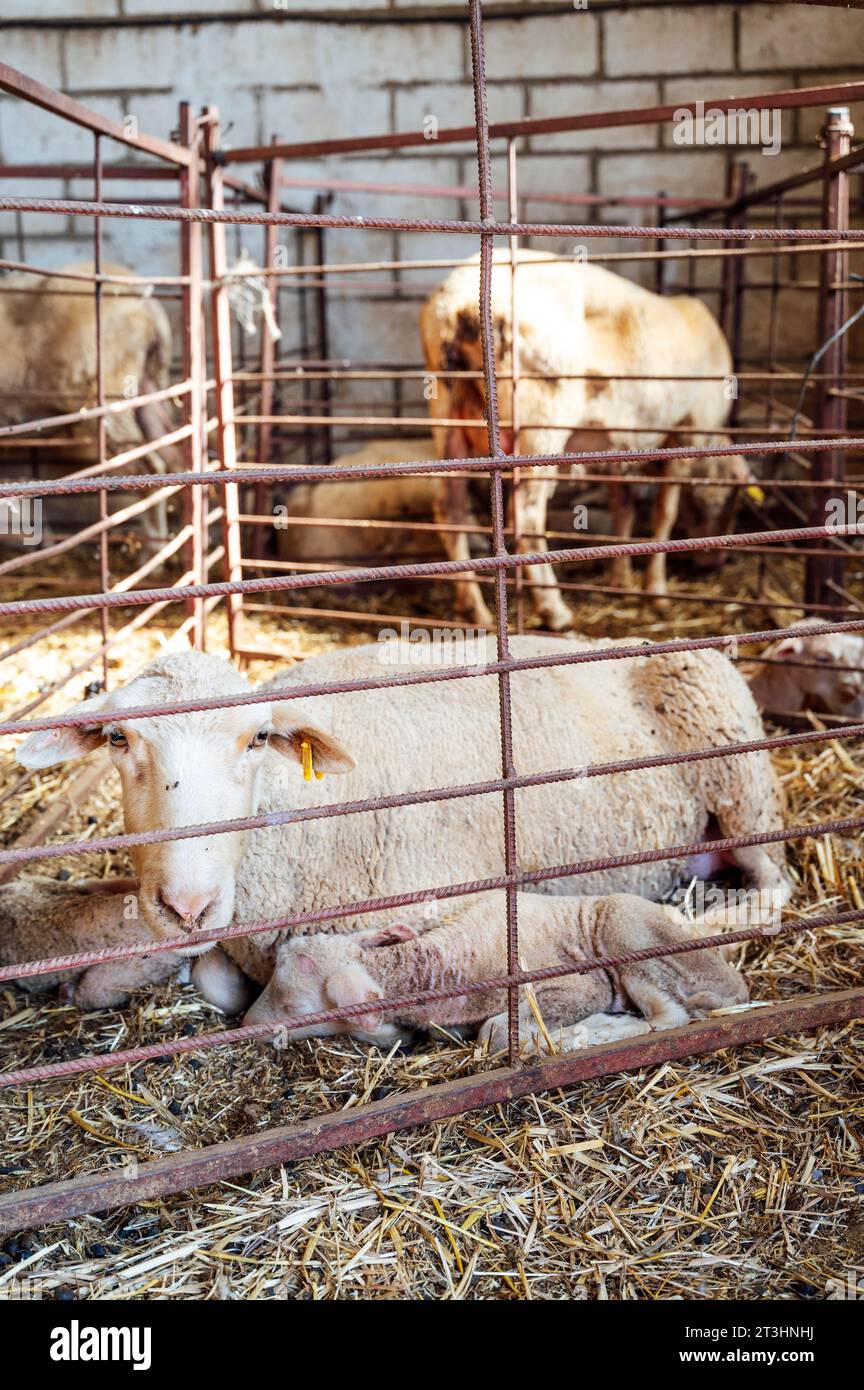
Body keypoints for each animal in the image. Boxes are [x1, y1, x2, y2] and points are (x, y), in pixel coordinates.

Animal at [0, 262, 181, 539]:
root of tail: (146, 301)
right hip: (146, 388)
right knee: (173, 452)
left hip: (106, 395)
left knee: (148, 465)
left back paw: (154, 542)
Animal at [244, 890, 750, 1055]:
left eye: (293, 1004)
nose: (246, 1023)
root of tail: (736, 986)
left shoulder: (575, 986)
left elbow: (495, 1033)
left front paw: (561, 1036)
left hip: (626, 932)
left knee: (670, 1017)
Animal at [420, 250, 754, 629]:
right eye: (733, 500)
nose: (712, 565)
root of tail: (456, 302)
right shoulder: (687, 430)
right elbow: (664, 513)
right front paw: (656, 589)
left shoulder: (618, 449)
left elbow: (623, 509)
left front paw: (621, 580)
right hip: (540, 420)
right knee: (526, 516)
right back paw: (554, 610)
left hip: (447, 412)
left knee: (449, 508)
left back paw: (474, 609)